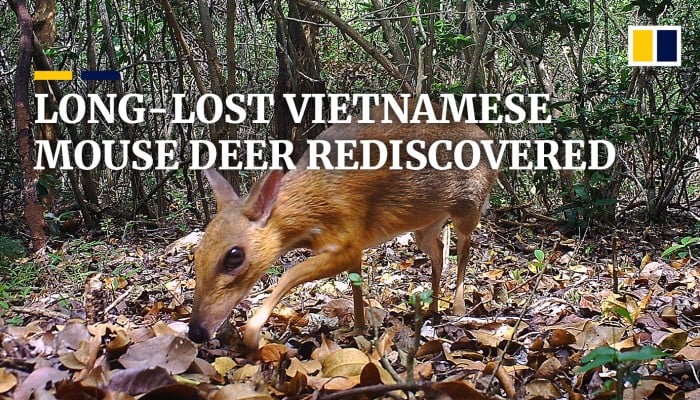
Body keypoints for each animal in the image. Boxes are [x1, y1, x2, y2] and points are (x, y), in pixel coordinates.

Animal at [187, 101, 498, 355]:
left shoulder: (347, 237)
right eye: (197, 254)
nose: (196, 331)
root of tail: (492, 143)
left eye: (234, 256)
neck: (312, 205)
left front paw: (252, 334)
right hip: (426, 224)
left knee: (464, 249)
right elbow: (355, 282)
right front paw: (357, 329)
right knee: (438, 251)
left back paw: (457, 307)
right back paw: (432, 309)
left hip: (469, 206)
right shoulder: (354, 244)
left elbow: (290, 273)